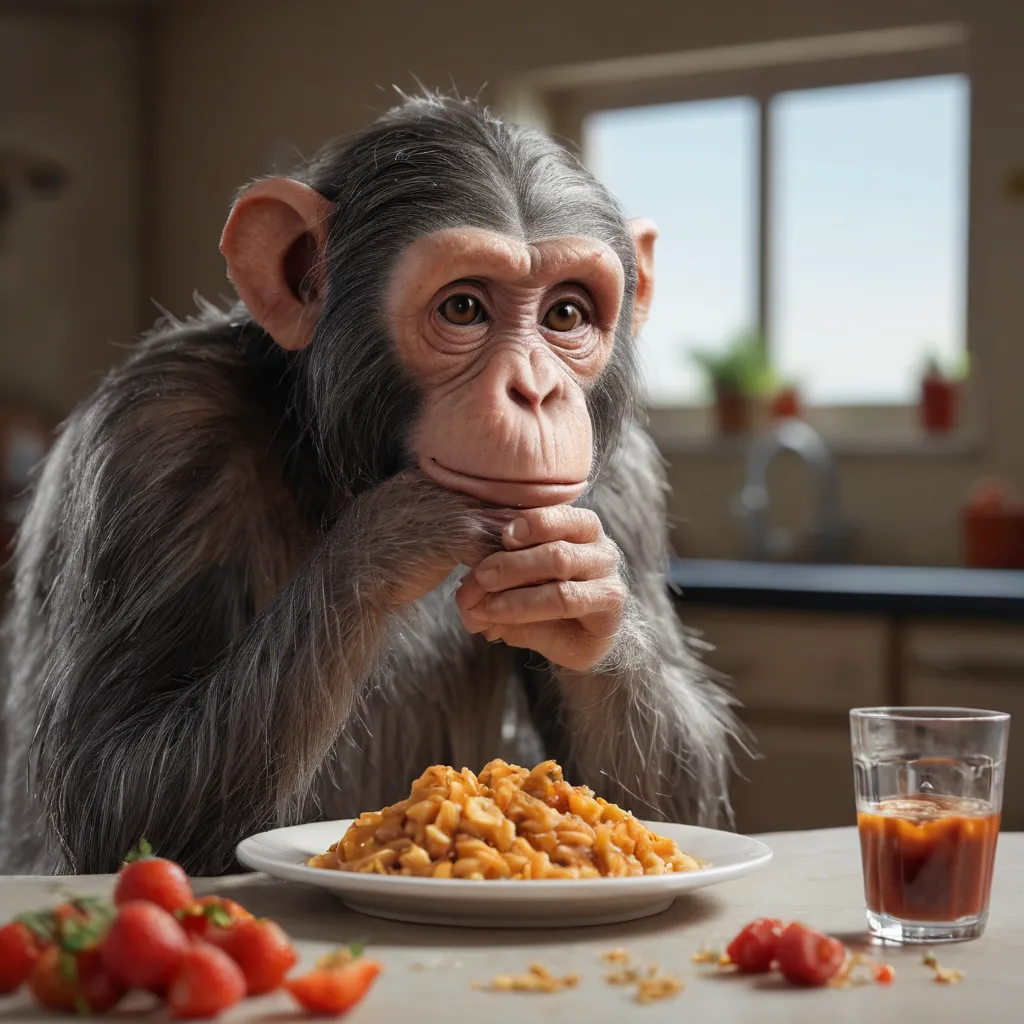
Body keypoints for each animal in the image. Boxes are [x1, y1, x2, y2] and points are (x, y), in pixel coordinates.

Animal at [0, 93, 743, 876]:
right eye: (463, 308)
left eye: (564, 314)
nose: (535, 391)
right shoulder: (158, 426)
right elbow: (112, 787)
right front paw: (390, 539)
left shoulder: (625, 472)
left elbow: (674, 800)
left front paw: (585, 590)